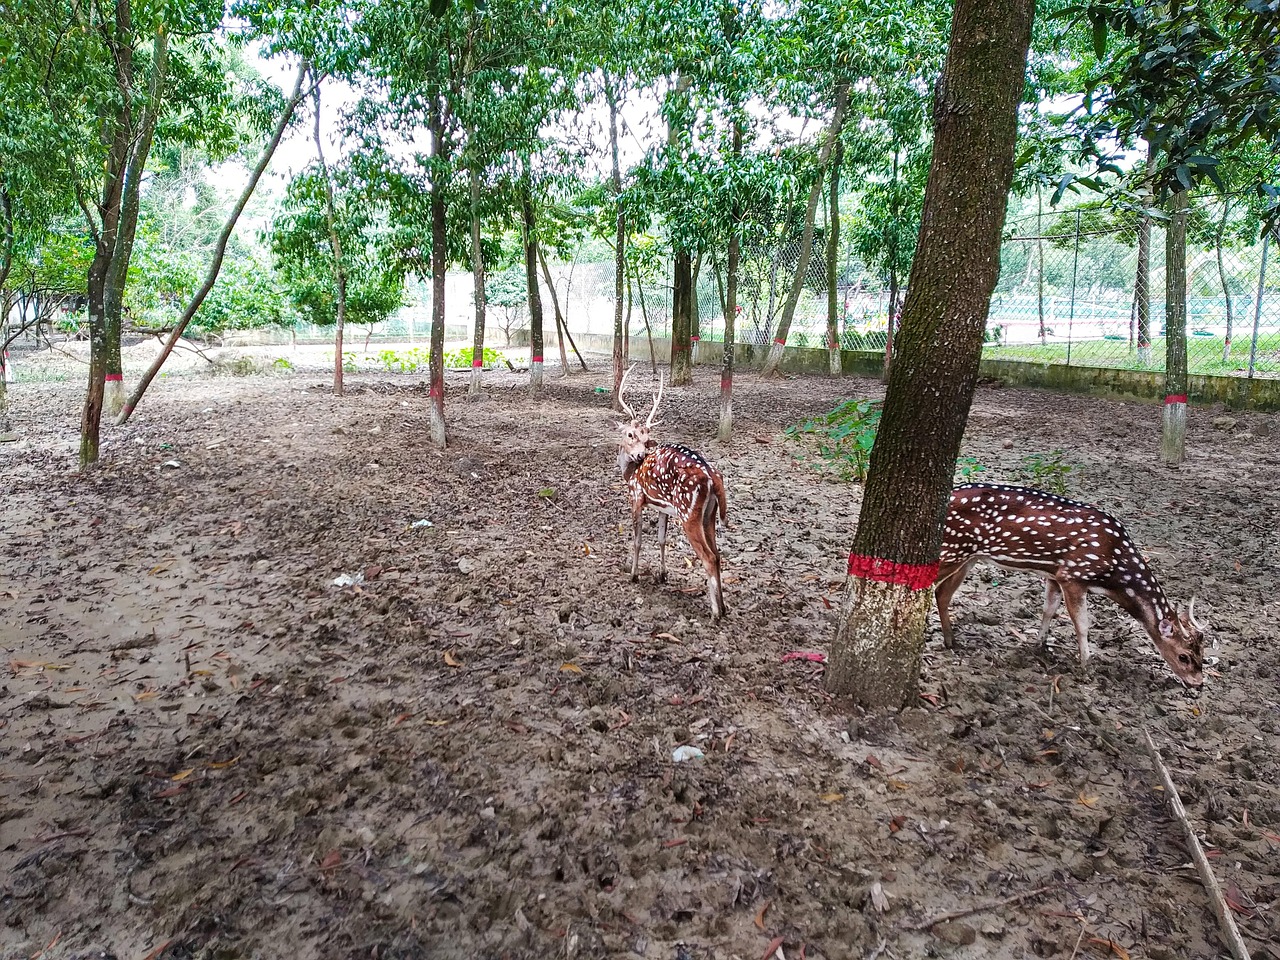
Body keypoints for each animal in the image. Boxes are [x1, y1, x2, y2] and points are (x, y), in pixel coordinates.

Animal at [615, 364, 728, 621]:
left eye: (647, 438)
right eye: (631, 434)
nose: (640, 455)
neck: (629, 473)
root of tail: (714, 478)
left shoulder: (636, 497)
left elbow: (637, 540)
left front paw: (634, 575)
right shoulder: (663, 507)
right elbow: (661, 539)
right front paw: (662, 574)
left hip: (689, 513)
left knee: (708, 557)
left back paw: (715, 612)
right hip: (709, 514)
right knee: (718, 554)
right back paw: (724, 607)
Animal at [936, 483, 1206, 687]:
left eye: (1201, 655)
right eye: (1184, 656)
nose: (1198, 683)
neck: (1113, 572)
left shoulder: (1054, 575)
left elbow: (1048, 609)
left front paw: (1040, 646)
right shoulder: (1073, 574)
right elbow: (1082, 624)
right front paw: (1086, 667)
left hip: (968, 557)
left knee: (942, 593)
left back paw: (951, 641)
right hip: (952, 548)